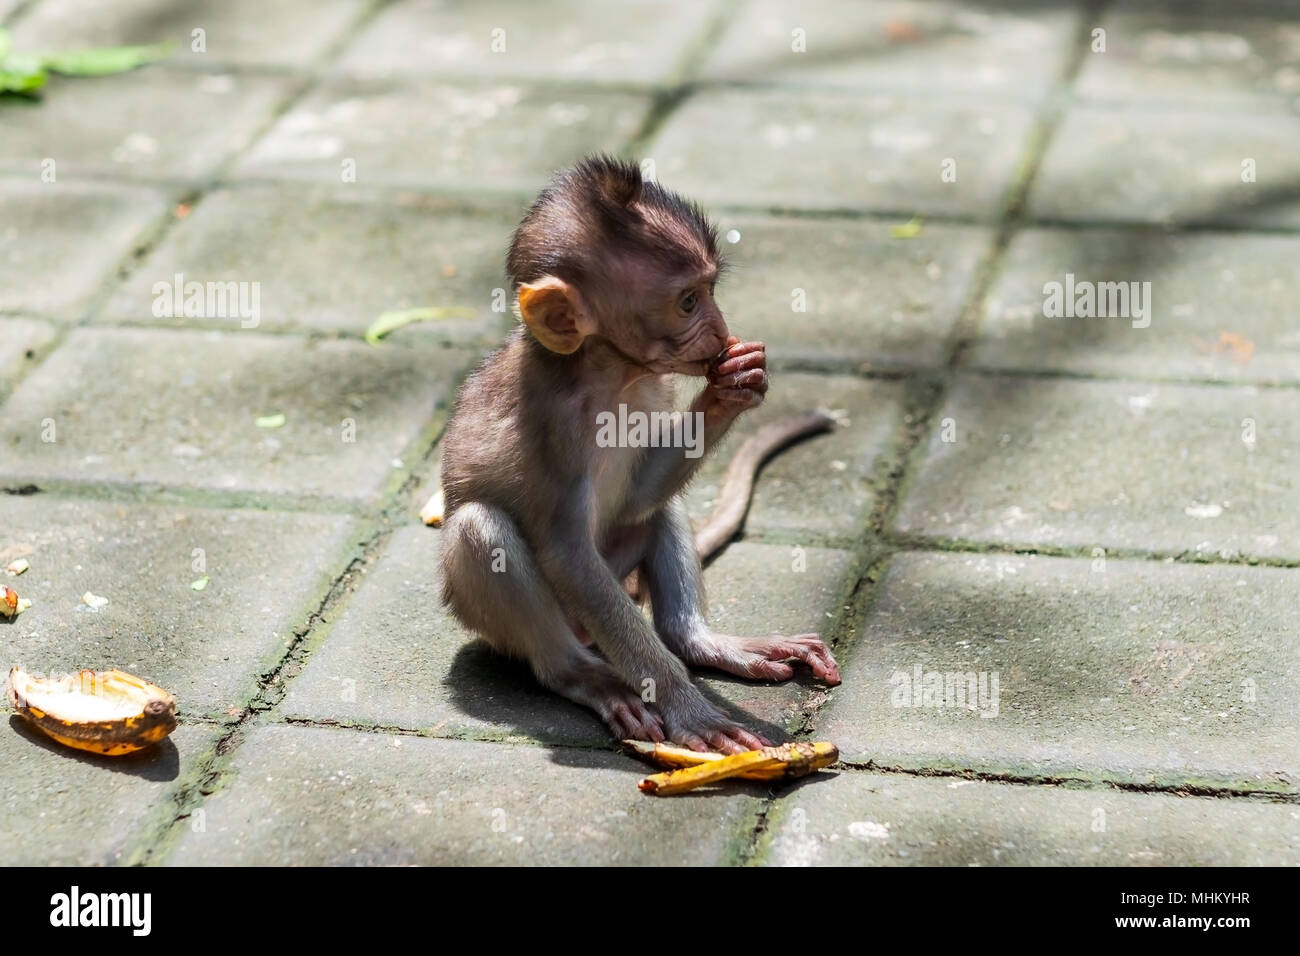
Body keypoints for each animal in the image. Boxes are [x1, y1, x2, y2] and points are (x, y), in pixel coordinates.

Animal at [438, 155, 841, 754]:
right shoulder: (551, 423)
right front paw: (685, 706)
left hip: (621, 566)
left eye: (711, 288)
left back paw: (701, 641)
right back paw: (586, 676)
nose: (721, 332)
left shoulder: (655, 390)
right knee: (479, 527)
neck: (609, 376)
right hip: (524, 615)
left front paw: (729, 391)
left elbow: (637, 498)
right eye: (689, 301)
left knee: (659, 511)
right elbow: (565, 551)